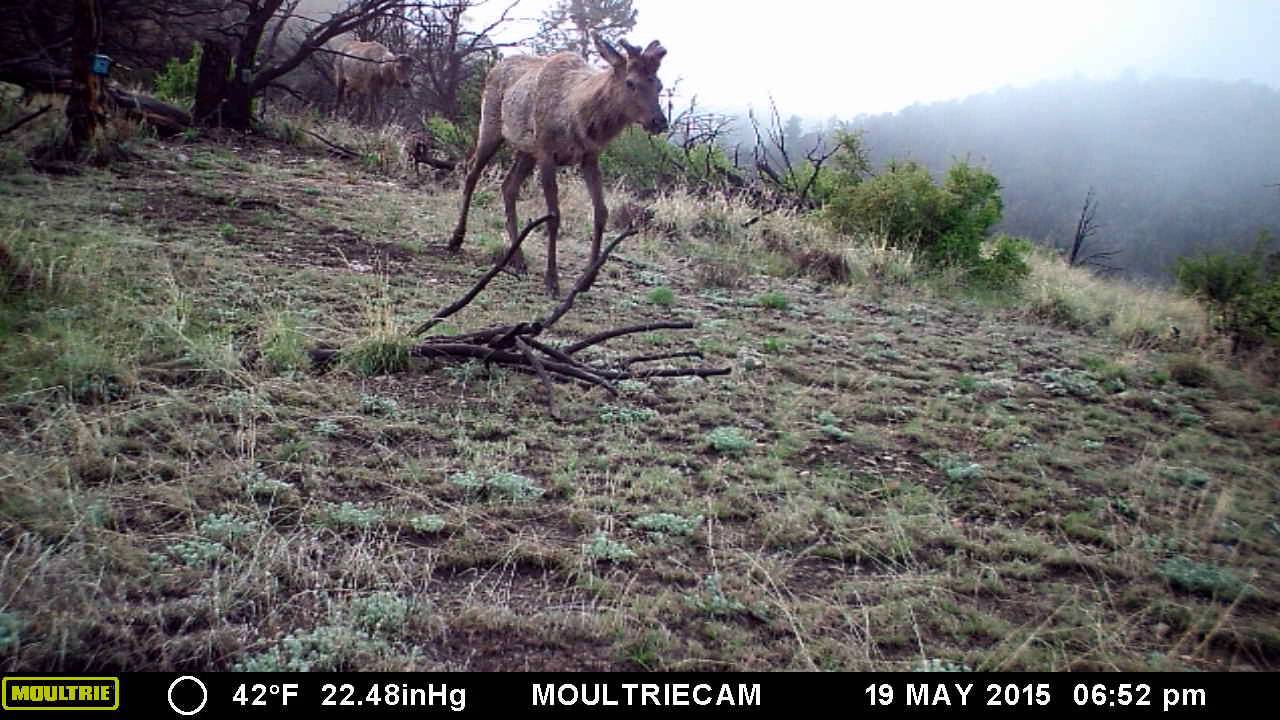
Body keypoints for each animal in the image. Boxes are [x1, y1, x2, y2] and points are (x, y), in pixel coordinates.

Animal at [448, 35, 669, 297]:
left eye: (659, 85)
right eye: (630, 82)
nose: (659, 121)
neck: (580, 118)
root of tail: (494, 67)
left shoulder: (589, 157)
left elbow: (601, 212)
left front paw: (586, 279)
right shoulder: (546, 153)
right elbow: (554, 217)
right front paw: (552, 281)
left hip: (526, 150)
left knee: (508, 187)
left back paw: (517, 259)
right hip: (491, 128)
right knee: (472, 174)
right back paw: (456, 240)